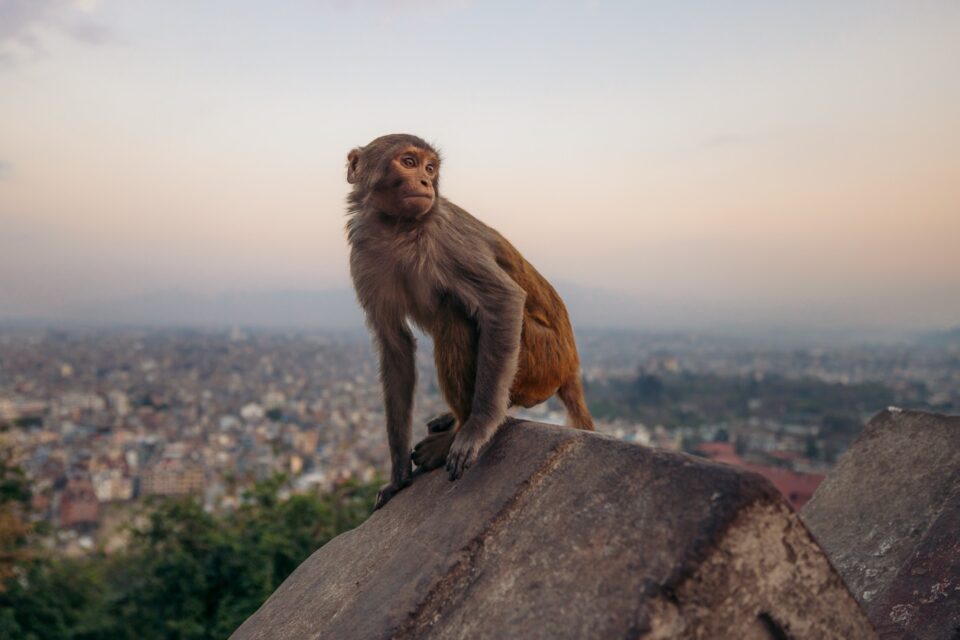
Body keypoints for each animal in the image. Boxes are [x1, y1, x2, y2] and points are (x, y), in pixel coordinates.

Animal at [345, 134, 593, 509]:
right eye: (408, 162)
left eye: (430, 168)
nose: (425, 183)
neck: (398, 229)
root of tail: (570, 364)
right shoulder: (363, 259)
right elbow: (395, 345)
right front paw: (398, 475)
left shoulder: (445, 241)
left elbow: (504, 300)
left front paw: (476, 429)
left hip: (540, 360)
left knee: (455, 317)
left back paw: (461, 427)